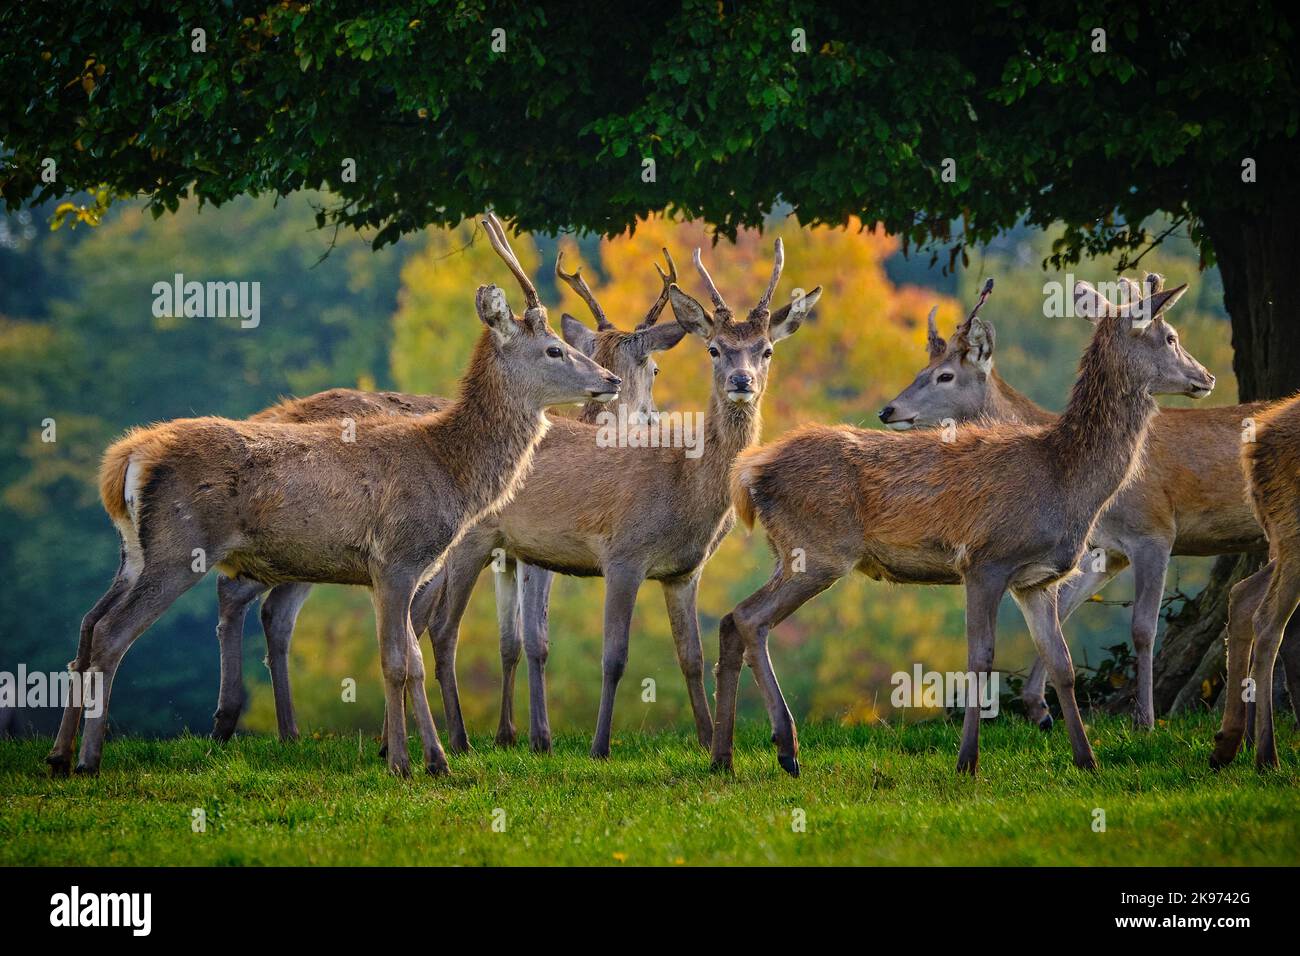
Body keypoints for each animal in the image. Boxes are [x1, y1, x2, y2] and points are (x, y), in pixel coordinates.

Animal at [46, 213, 621, 778]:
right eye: (555, 349)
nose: (612, 379)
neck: (451, 471)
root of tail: (126, 459)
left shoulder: (404, 569)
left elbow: (409, 660)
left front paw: (431, 761)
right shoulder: (397, 558)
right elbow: (397, 661)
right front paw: (407, 764)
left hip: (134, 553)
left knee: (87, 628)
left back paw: (59, 755)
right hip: (179, 546)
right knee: (112, 634)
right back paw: (89, 760)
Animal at [208, 246, 685, 746]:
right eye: (656, 368)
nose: (639, 405)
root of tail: (274, 413)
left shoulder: (500, 556)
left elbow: (505, 641)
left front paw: (501, 734)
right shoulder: (502, 548)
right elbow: (518, 638)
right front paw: (532, 737)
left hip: (313, 553)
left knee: (273, 611)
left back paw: (284, 730)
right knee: (234, 588)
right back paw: (230, 719)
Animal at [412, 239, 820, 758]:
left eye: (767, 350)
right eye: (714, 349)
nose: (741, 381)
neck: (687, 487)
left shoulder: (684, 572)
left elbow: (691, 656)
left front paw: (707, 740)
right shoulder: (623, 554)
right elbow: (613, 656)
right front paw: (598, 745)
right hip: (472, 541)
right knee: (444, 630)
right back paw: (458, 741)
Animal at [717, 279, 1214, 777]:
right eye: (1171, 336)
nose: (1206, 377)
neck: (1064, 477)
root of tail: (748, 471)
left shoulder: (1037, 580)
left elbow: (1062, 664)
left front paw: (1086, 759)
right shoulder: (985, 561)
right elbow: (980, 660)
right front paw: (967, 761)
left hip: (789, 552)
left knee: (730, 619)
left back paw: (723, 756)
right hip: (817, 551)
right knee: (749, 617)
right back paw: (785, 747)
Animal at [880, 274, 1300, 731]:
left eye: (945, 376)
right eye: (922, 371)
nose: (888, 410)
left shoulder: (1154, 528)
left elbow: (1142, 628)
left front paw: (1145, 719)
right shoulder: (1104, 549)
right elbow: (1063, 609)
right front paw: (1039, 708)